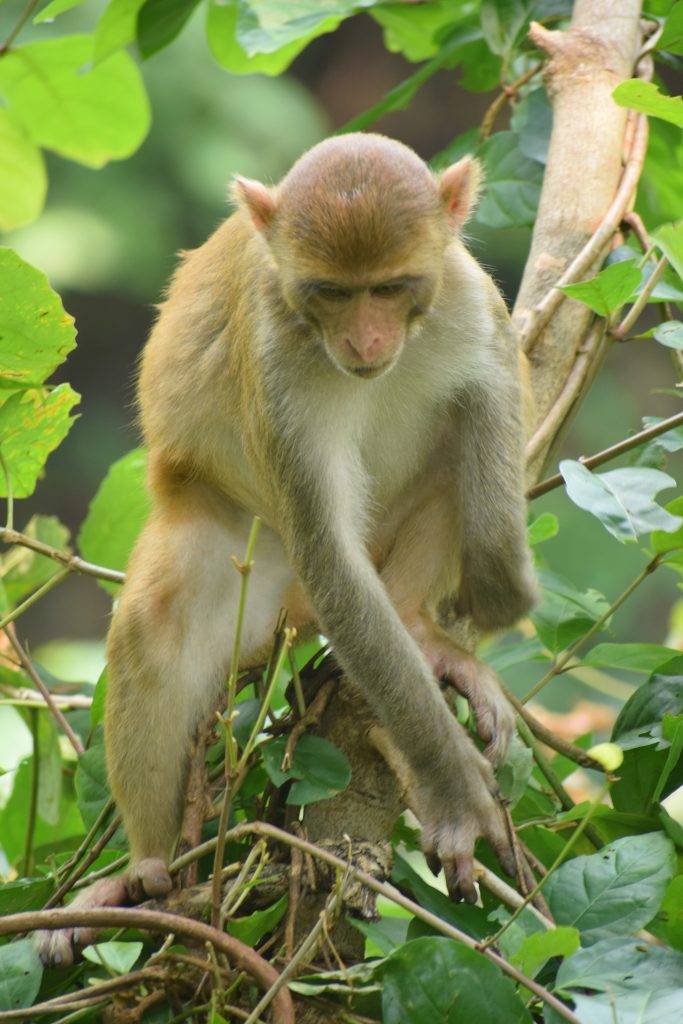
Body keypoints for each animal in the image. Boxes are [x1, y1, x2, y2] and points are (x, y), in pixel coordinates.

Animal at [39, 133, 538, 964]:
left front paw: (502, 577)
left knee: (450, 441)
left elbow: (498, 385)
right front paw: (454, 792)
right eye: (331, 293)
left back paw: (424, 629)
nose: (365, 341)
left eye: (391, 286)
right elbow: (332, 558)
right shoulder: (275, 361)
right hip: (245, 560)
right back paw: (140, 872)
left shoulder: (467, 299)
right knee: (159, 631)